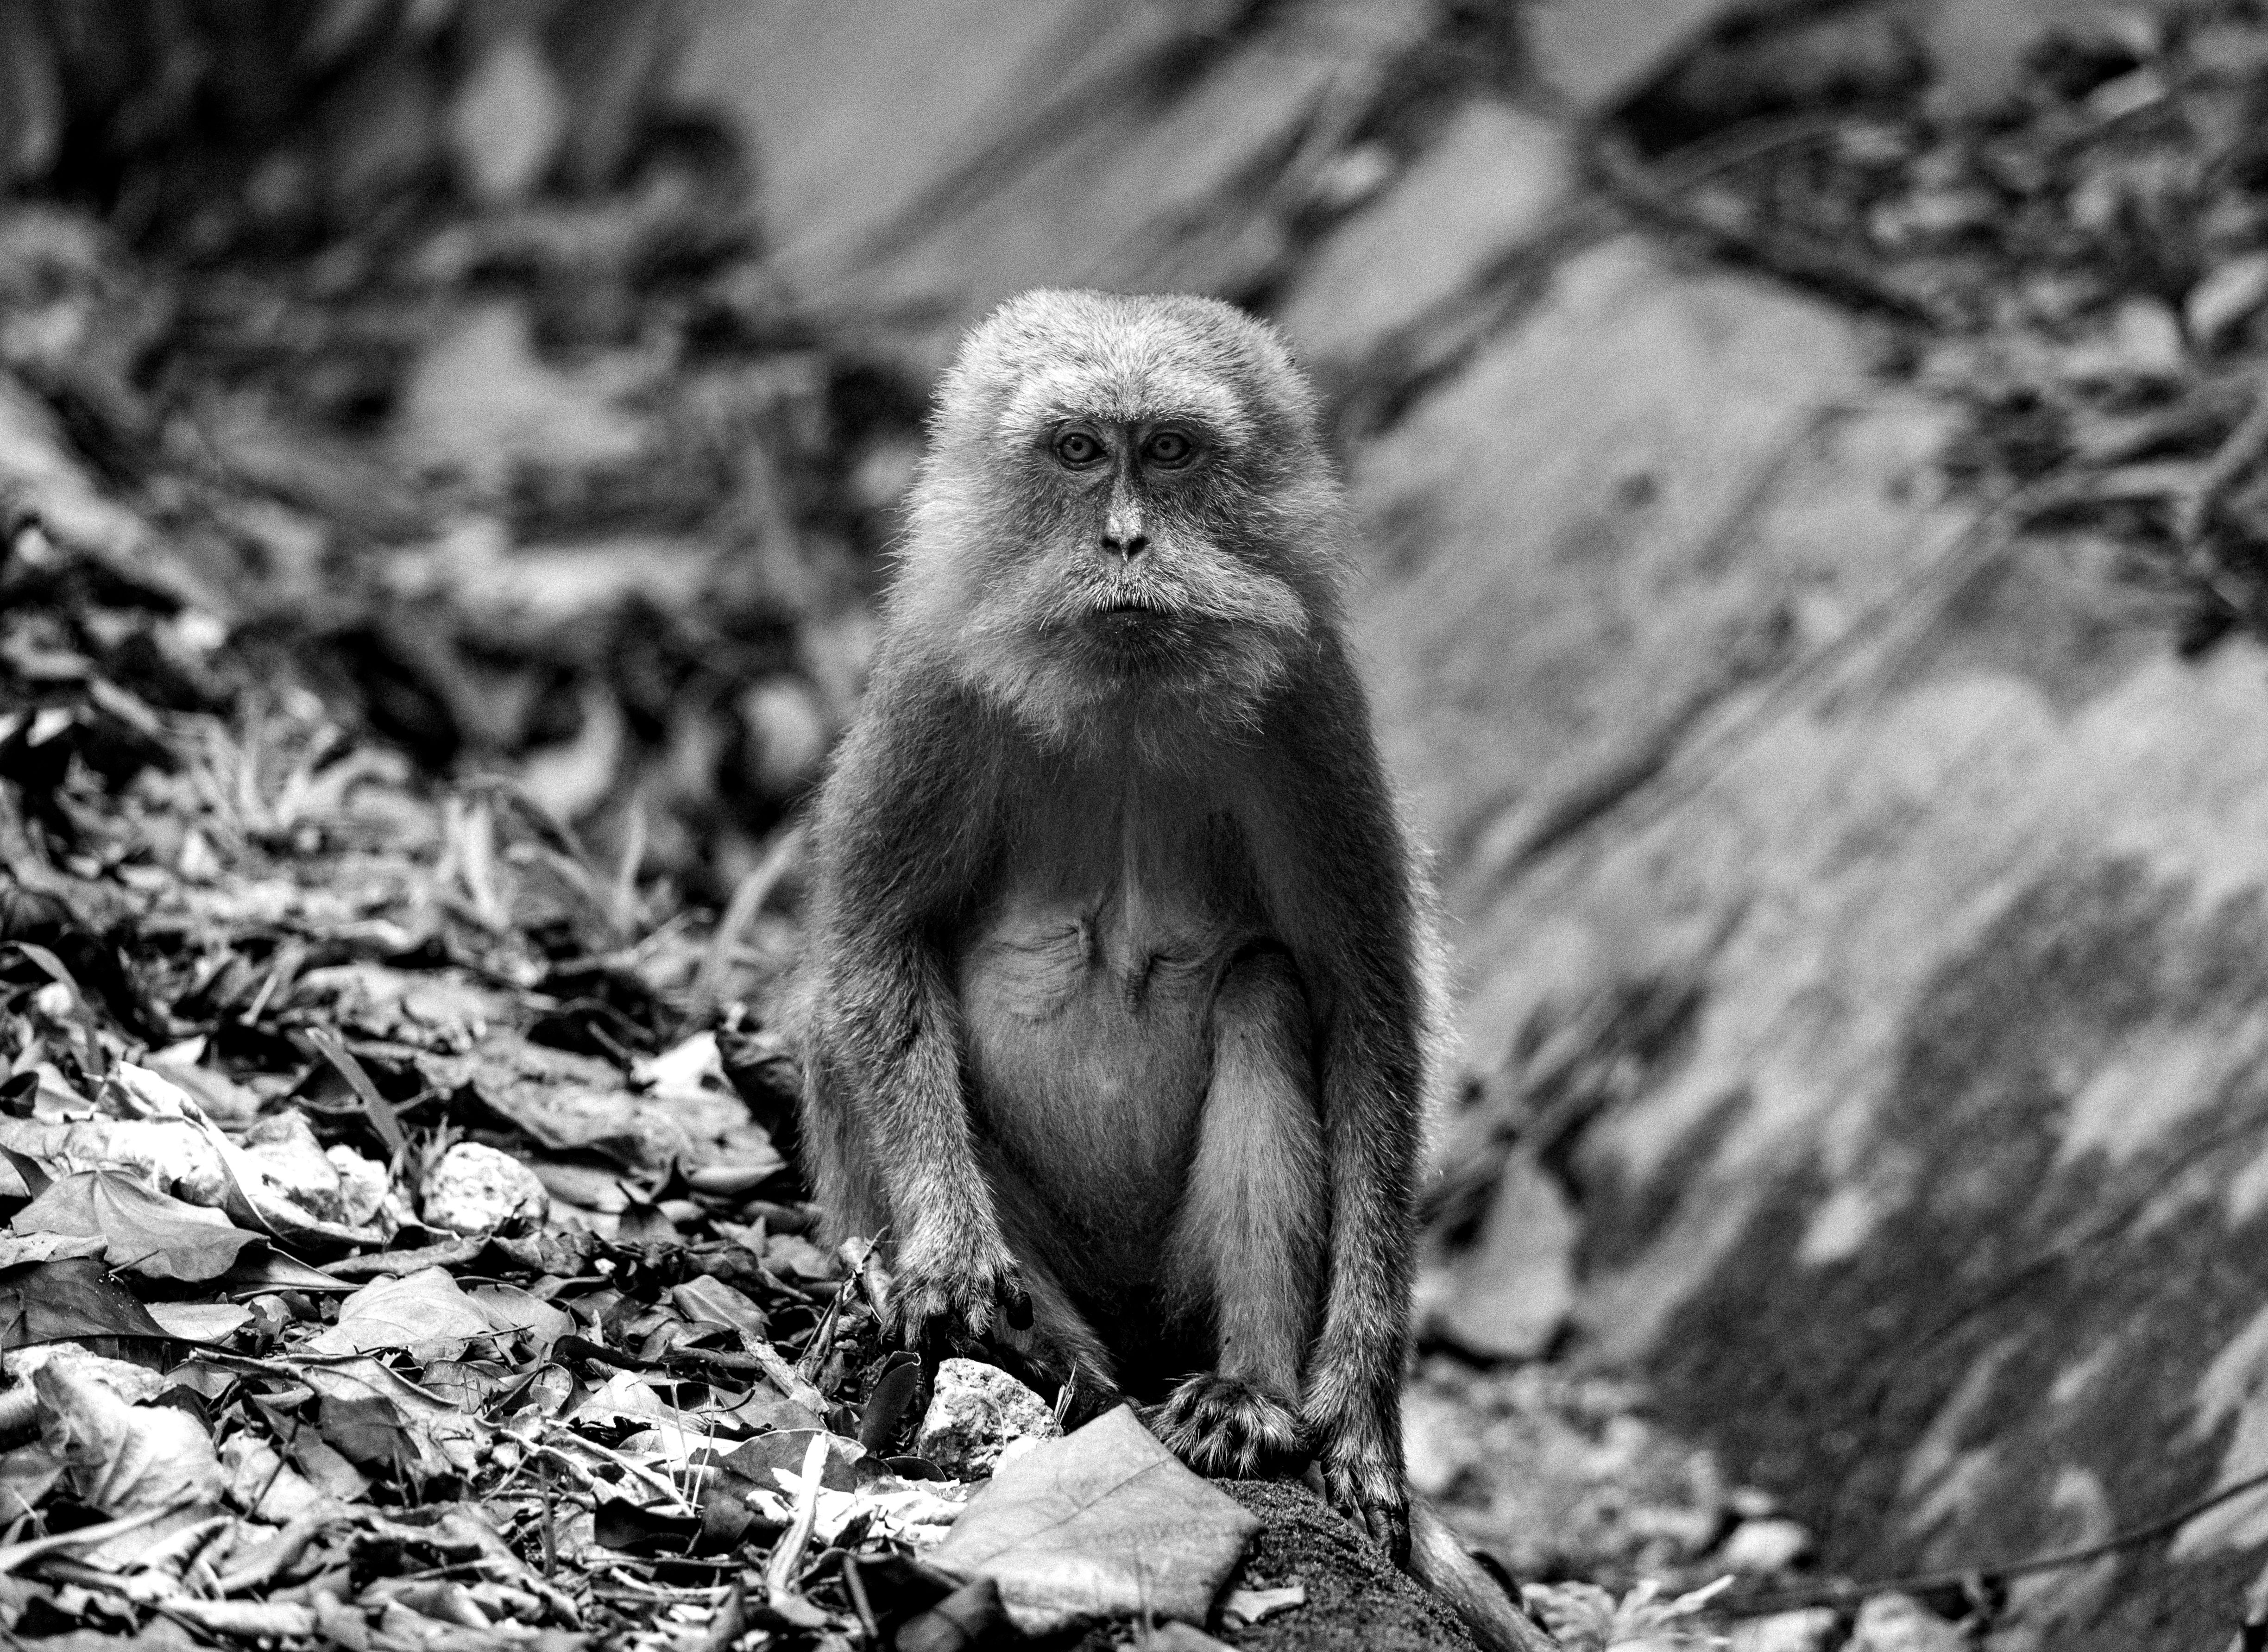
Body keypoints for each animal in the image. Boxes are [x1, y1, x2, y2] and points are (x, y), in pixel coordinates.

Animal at [798, 290, 1547, 1652]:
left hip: (1178, 1297)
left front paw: (1360, 1397)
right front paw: (952, 1255)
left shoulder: (1311, 703)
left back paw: (1244, 1394)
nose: (1126, 538)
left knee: (1262, 991)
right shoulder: (934, 680)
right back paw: (1052, 1359)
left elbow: (1366, 1009)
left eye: (1173, 453)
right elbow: (875, 953)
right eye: (1080, 451)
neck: (1126, 703)